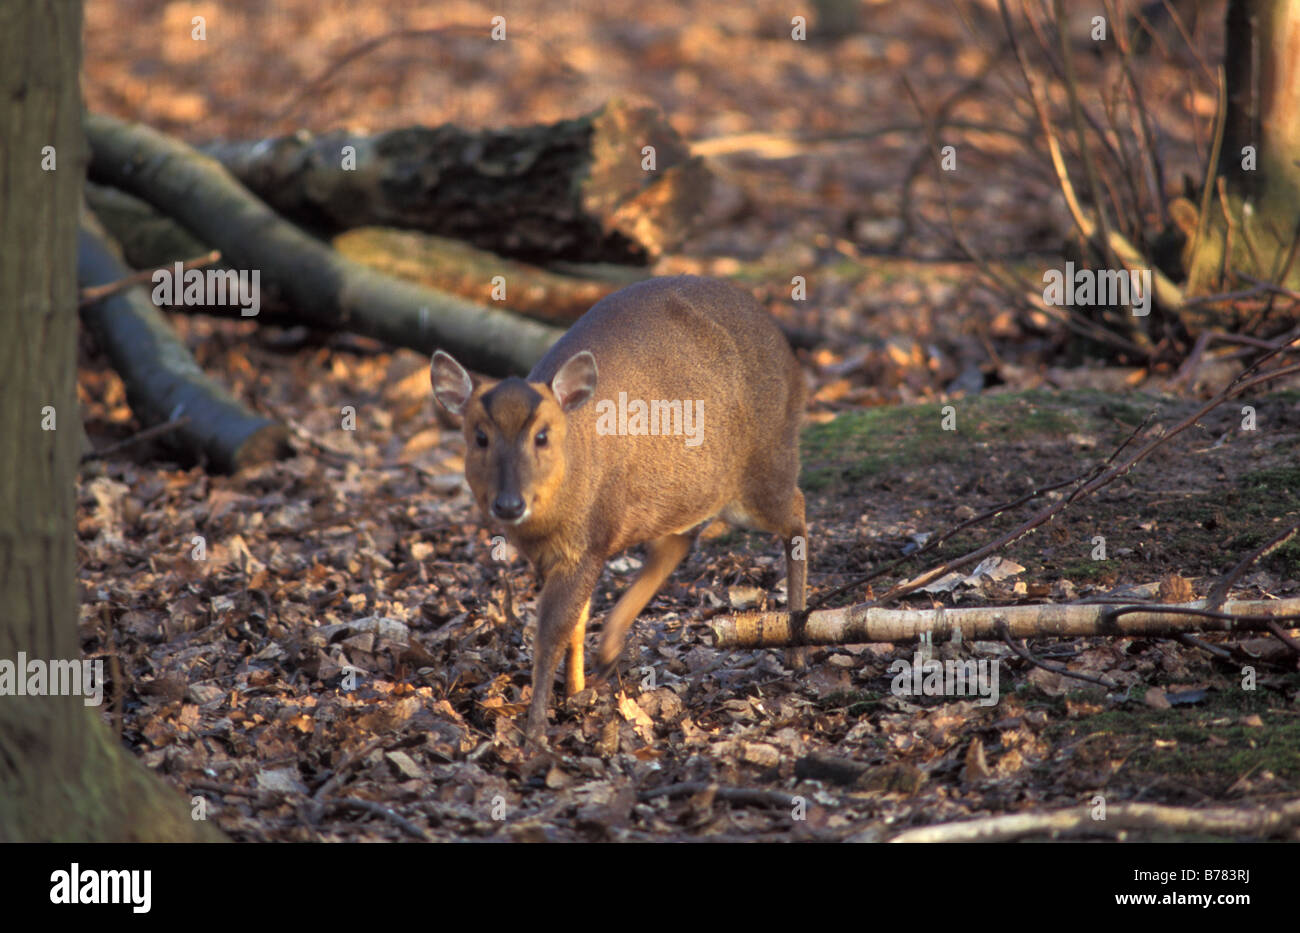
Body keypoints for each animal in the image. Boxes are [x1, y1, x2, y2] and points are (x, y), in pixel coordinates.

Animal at [431, 275, 807, 748]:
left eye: (542, 435)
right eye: (479, 437)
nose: (509, 503)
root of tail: (788, 350)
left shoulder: (589, 540)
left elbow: (550, 633)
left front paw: (535, 733)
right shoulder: (567, 552)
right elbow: (576, 621)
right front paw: (575, 694)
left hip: (765, 462)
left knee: (797, 511)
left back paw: (797, 647)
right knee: (678, 540)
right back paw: (608, 652)